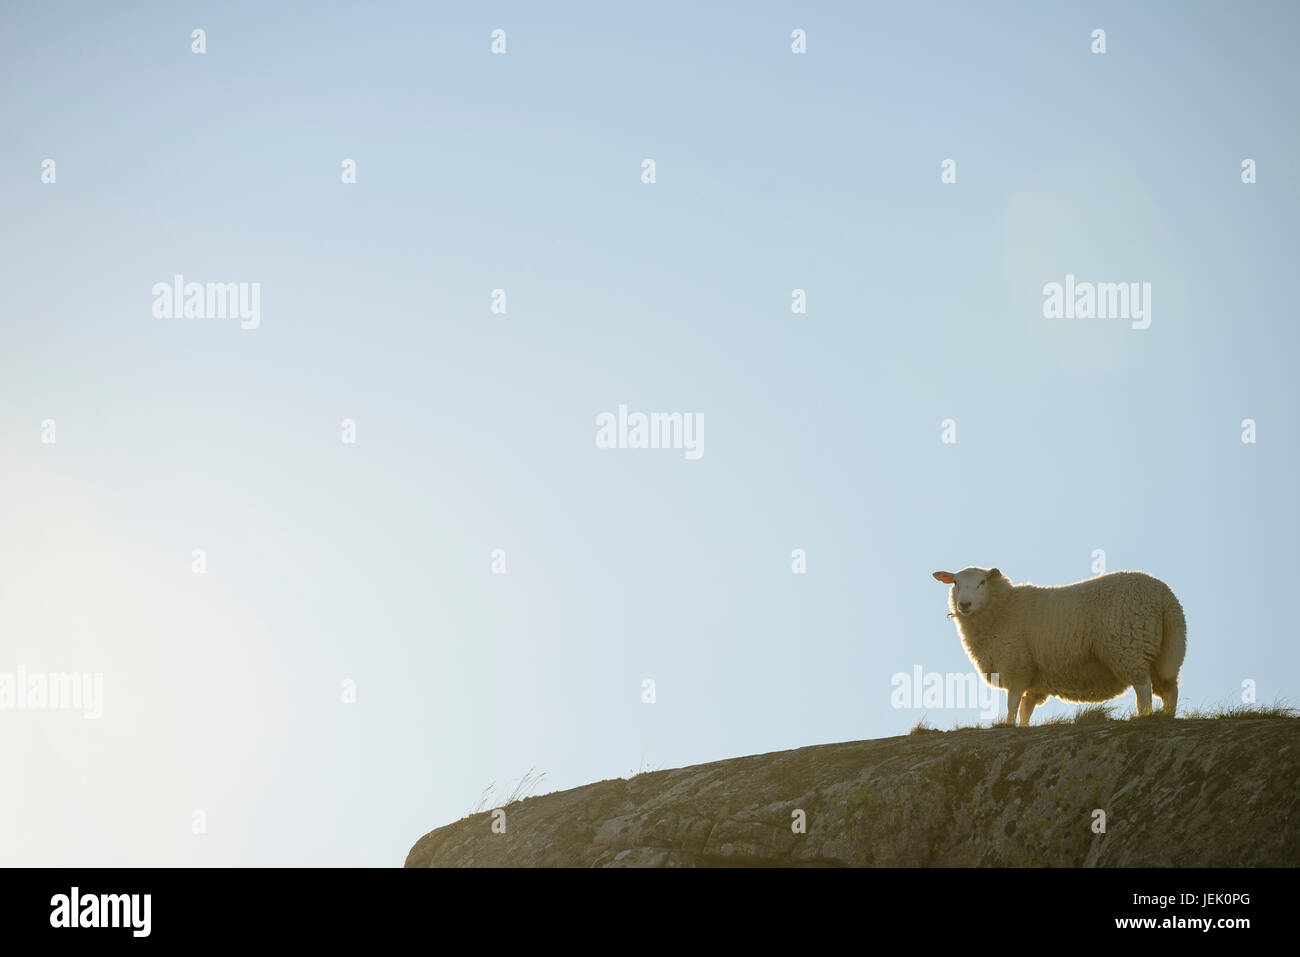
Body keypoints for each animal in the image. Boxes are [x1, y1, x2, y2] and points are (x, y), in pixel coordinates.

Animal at [931, 566, 1186, 726]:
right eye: (955, 583)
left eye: (982, 582)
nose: (964, 604)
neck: (1003, 607)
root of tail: (1167, 598)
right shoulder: (1034, 677)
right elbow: (1026, 708)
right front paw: (1023, 727)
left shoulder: (1015, 665)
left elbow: (1013, 704)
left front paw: (1008, 725)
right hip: (1162, 651)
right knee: (1169, 689)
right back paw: (1167, 716)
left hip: (1128, 648)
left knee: (1143, 688)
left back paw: (1144, 716)